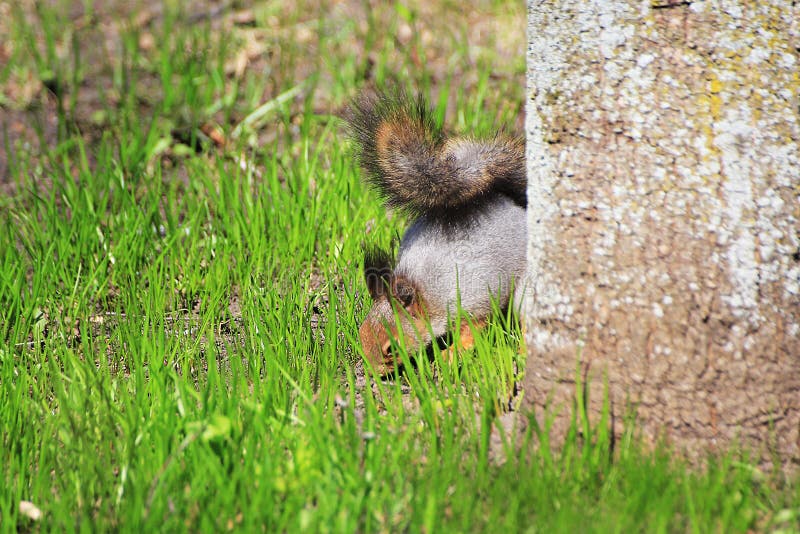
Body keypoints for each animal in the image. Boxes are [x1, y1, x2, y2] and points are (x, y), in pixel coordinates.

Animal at [345, 89, 527, 375]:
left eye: (390, 349)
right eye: (361, 333)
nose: (372, 373)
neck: (427, 292)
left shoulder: (476, 299)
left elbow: (472, 332)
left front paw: (449, 356)